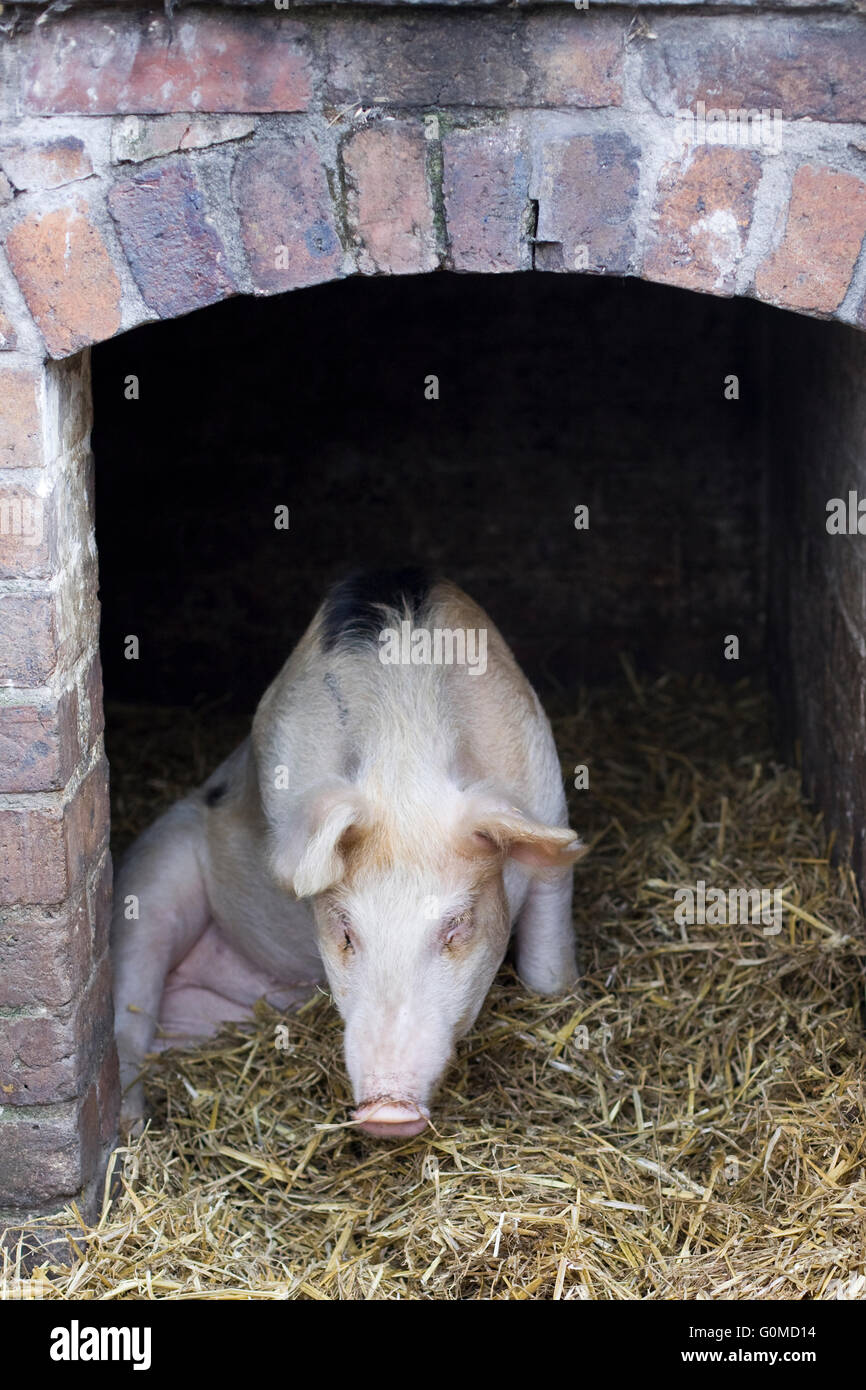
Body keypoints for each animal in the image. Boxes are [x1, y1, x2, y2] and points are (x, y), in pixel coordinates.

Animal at [112, 570, 584, 1138]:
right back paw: (131, 1126)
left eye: (457, 925)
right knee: (127, 1018)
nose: (389, 1111)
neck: (404, 757)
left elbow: (548, 970)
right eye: (345, 930)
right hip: (151, 876)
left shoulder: (548, 798)